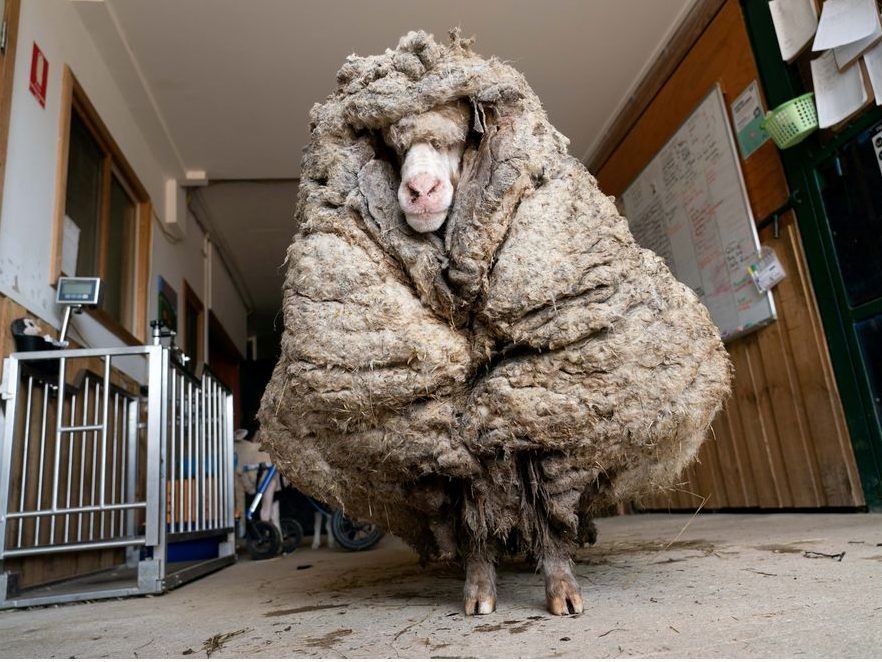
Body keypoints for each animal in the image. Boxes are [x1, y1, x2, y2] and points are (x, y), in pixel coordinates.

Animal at [258, 30, 732, 616]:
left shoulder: (538, 391)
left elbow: (539, 481)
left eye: (461, 137)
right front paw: (479, 588)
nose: (419, 192)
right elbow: (470, 499)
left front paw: (561, 586)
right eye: (391, 145)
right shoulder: (443, 419)